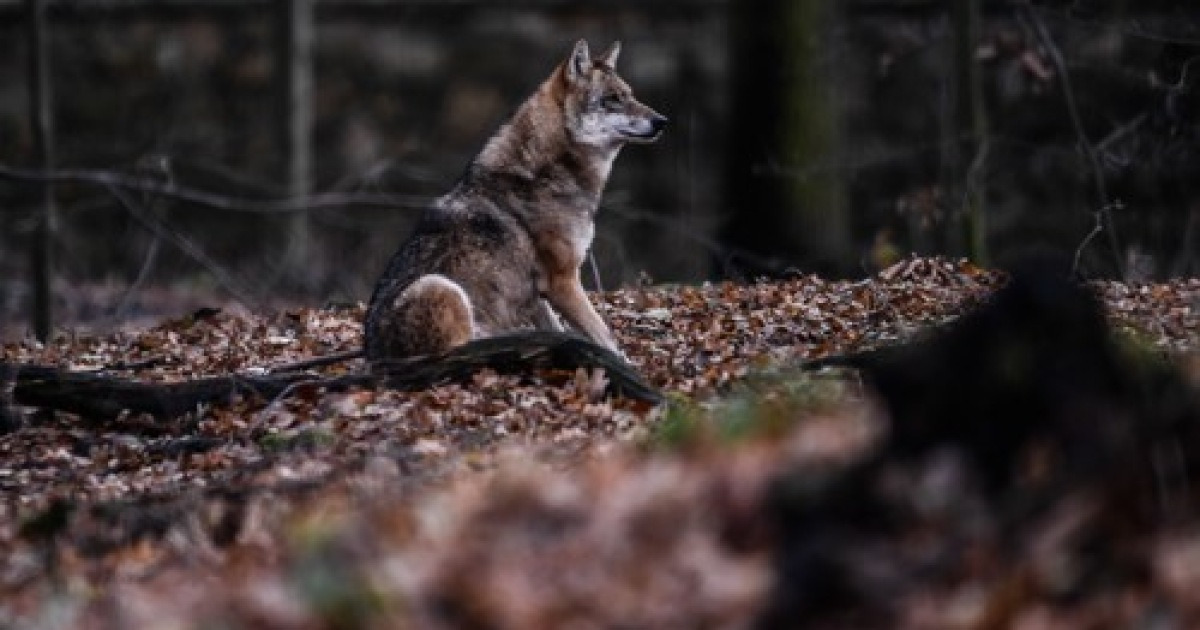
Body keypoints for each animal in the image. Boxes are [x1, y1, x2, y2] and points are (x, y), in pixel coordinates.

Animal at [363, 40, 667, 361]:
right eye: (612, 99)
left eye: (631, 95)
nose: (662, 121)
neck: (543, 173)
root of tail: (373, 356)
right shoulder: (563, 281)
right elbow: (606, 338)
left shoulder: (538, 294)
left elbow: (558, 327)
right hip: (442, 287)